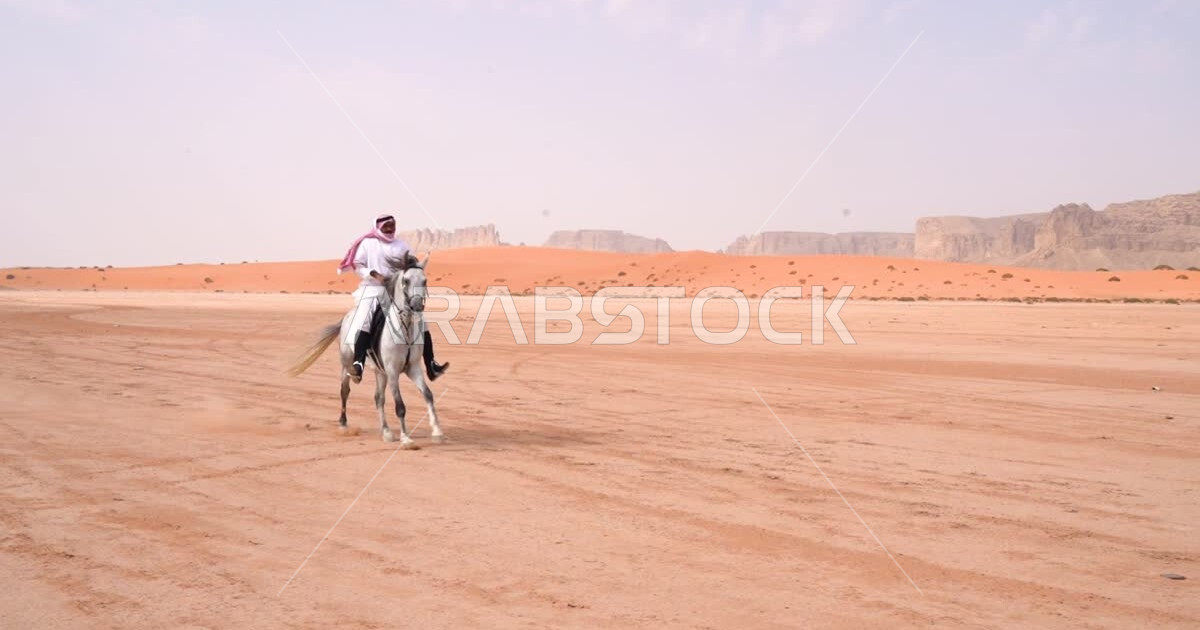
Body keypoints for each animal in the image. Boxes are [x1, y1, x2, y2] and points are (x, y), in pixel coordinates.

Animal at [287, 252, 445, 449]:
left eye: (424, 280)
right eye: (406, 280)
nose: (417, 305)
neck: (405, 330)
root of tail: (346, 318)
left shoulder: (413, 368)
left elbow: (428, 395)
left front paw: (437, 431)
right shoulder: (393, 372)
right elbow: (400, 406)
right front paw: (406, 438)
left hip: (380, 372)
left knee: (378, 398)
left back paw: (386, 431)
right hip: (348, 365)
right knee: (345, 391)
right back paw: (344, 424)